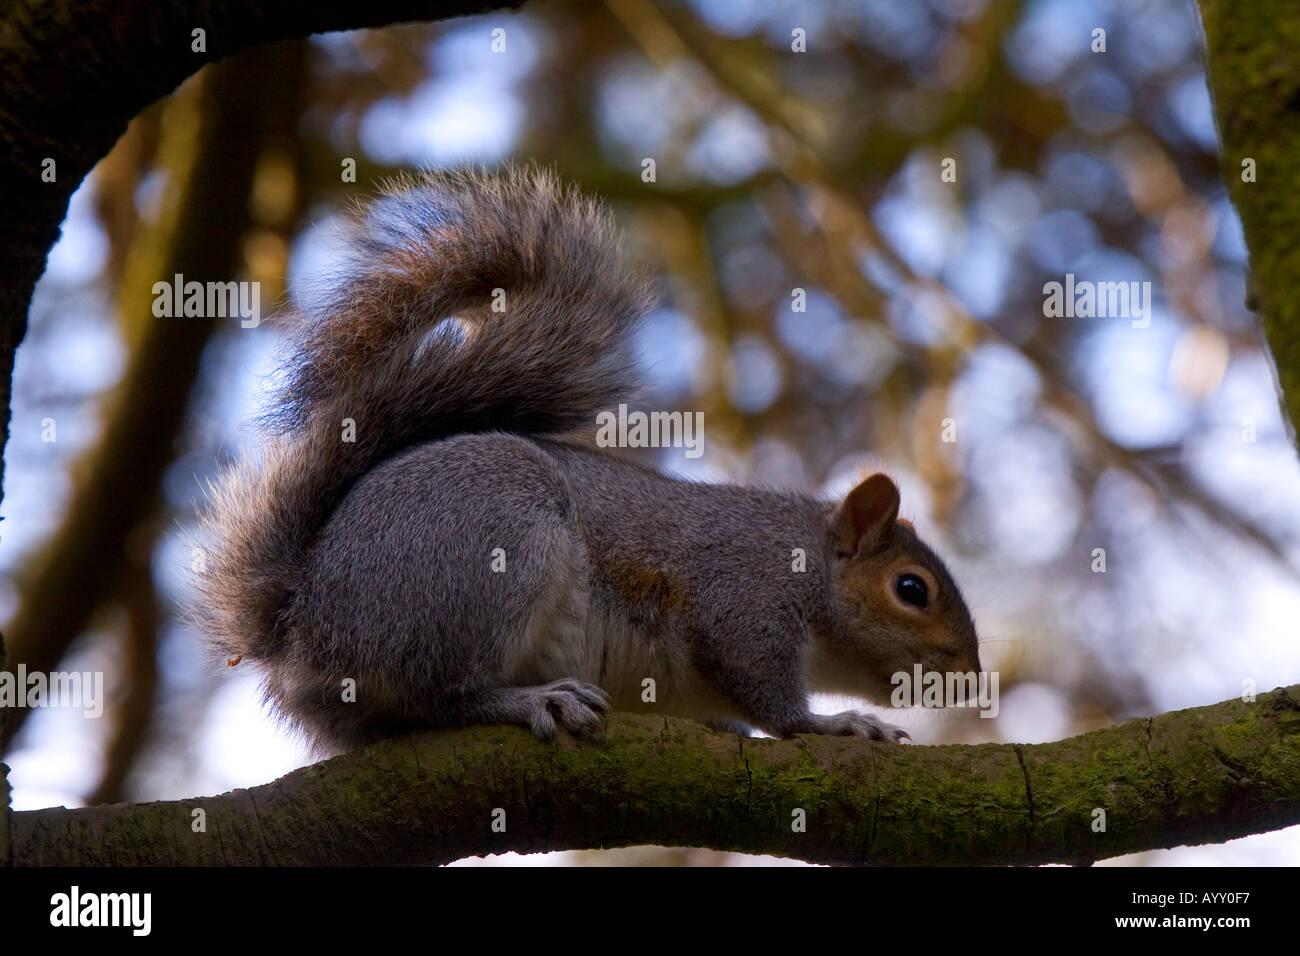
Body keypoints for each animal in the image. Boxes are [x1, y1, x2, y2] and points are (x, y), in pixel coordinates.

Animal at [194, 164, 982, 753]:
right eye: (911, 589)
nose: (970, 677)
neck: (807, 563)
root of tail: (301, 630)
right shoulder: (743, 599)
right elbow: (770, 696)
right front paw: (837, 722)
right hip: (484, 552)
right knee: (444, 692)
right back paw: (528, 699)